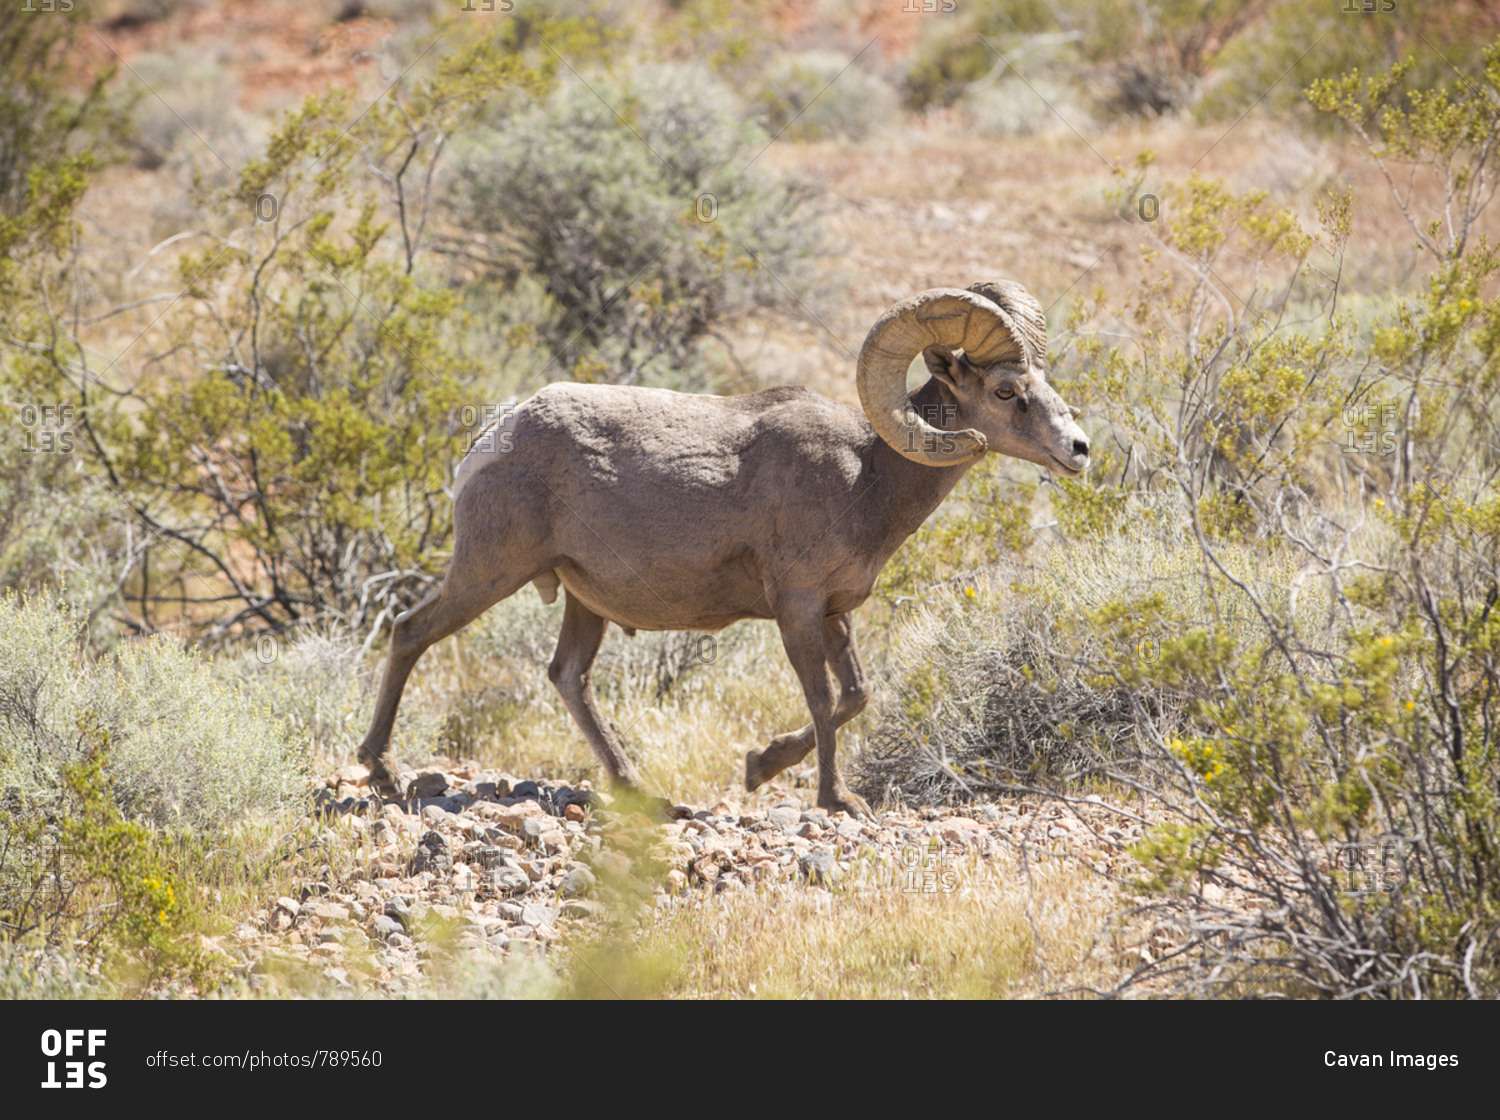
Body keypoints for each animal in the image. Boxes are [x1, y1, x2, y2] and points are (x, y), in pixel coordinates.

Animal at [357, 280, 1090, 817]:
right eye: (1005, 392)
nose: (1078, 449)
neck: (866, 473)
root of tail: (491, 438)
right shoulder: (797, 609)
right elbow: (823, 699)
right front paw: (836, 799)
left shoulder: (834, 614)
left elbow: (855, 696)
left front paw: (760, 767)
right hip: (490, 572)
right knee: (410, 633)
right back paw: (382, 771)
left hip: (581, 601)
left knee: (568, 677)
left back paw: (641, 791)